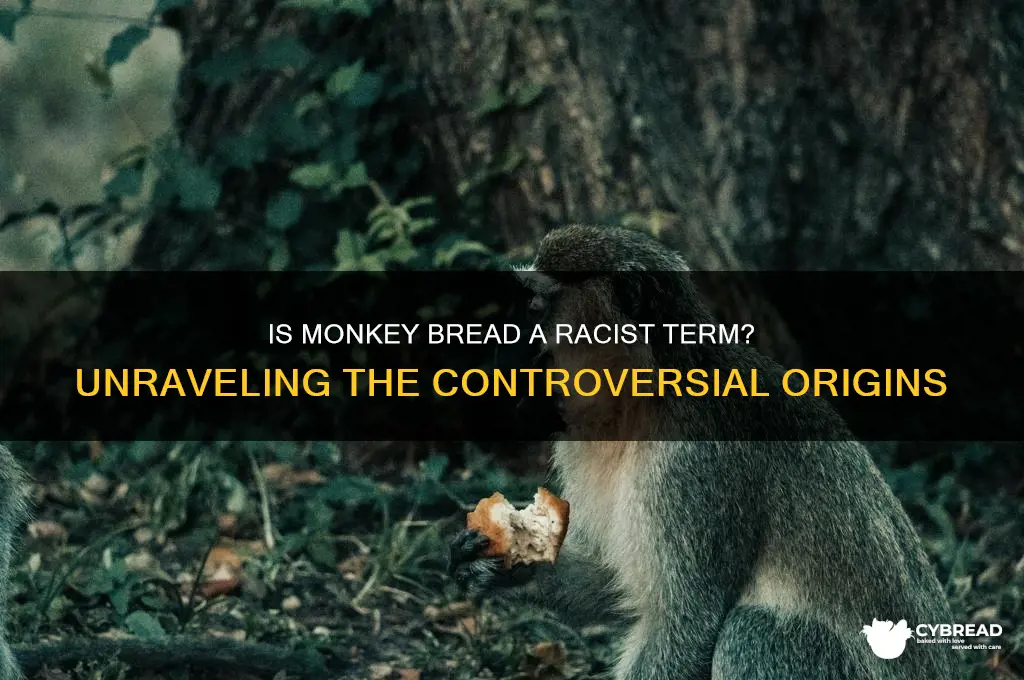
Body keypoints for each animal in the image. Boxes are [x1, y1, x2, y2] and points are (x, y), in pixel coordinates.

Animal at [449, 225, 960, 680]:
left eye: (537, 305)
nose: (505, 352)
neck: (649, 395)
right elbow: (615, 583)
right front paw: (501, 565)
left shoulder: (694, 467)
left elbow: (687, 624)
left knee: (753, 632)